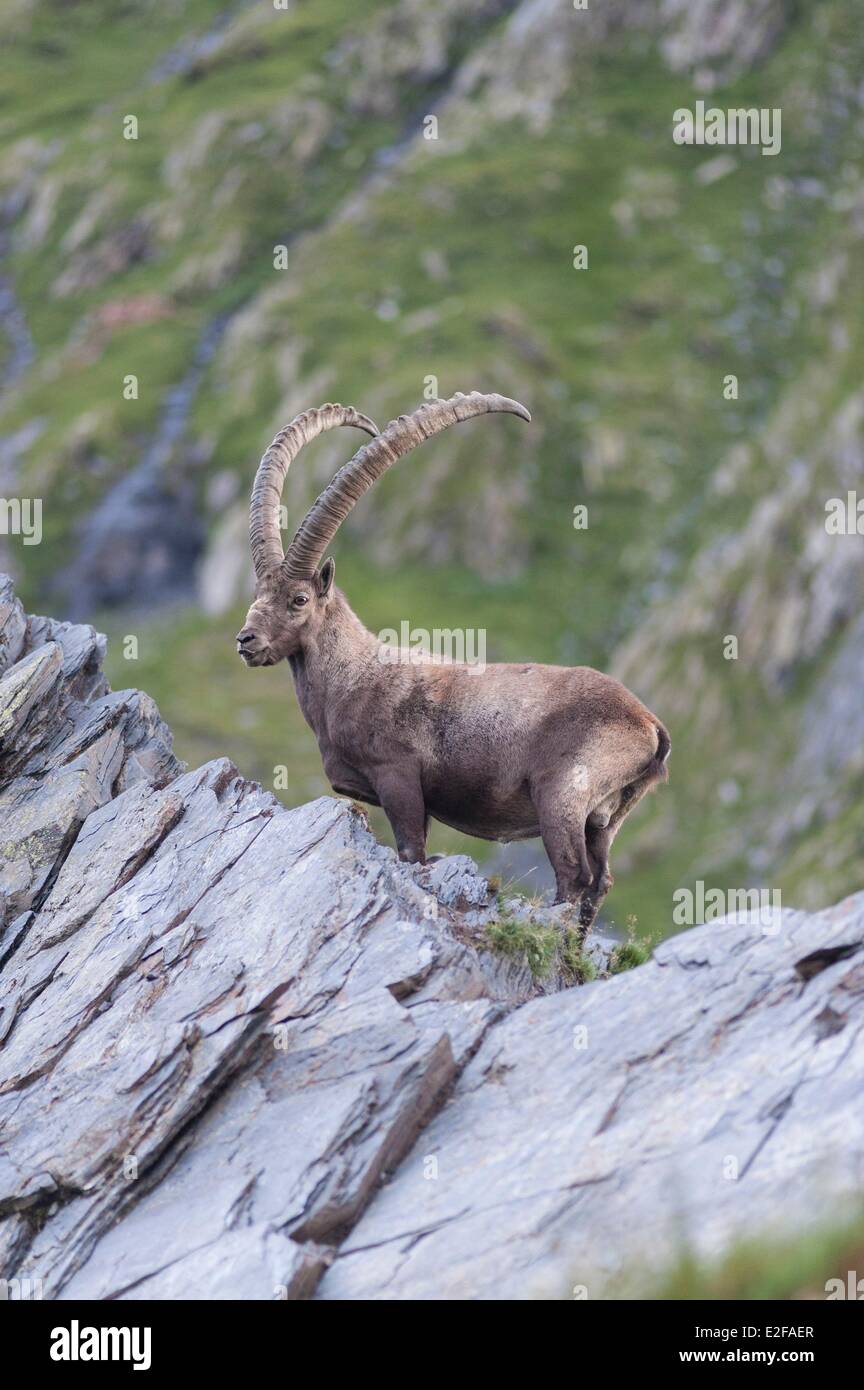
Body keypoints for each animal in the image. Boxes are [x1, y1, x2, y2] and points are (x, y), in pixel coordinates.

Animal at [236, 393, 669, 926]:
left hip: (563, 795)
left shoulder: (399, 778)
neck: (351, 676)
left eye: (298, 599)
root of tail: (649, 725)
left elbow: (412, 852)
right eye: (258, 594)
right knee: (600, 881)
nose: (246, 641)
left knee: (574, 876)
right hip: (604, 818)